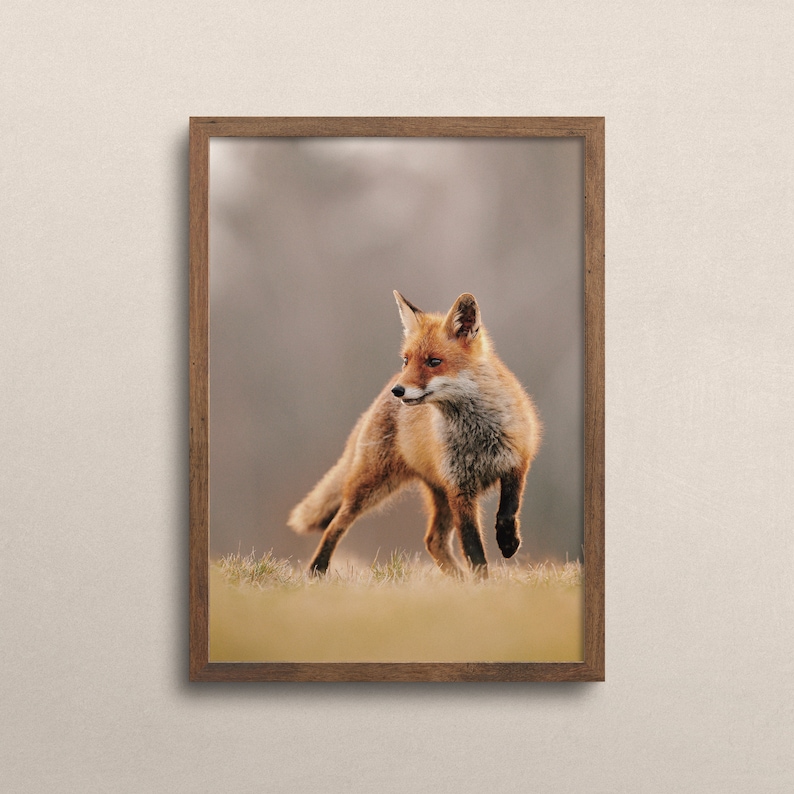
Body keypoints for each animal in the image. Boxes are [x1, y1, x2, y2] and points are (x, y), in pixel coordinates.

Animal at [288, 291, 542, 579]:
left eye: (434, 362)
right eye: (406, 360)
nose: (398, 391)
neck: (476, 435)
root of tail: (380, 394)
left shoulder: (516, 461)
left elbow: (508, 510)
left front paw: (508, 543)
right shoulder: (459, 489)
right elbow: (472, 547)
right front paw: (482, 582)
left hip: (435, 493)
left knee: (434, 541)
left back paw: (458, 578)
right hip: (372, 486)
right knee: (336, 525)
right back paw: (316, 571)